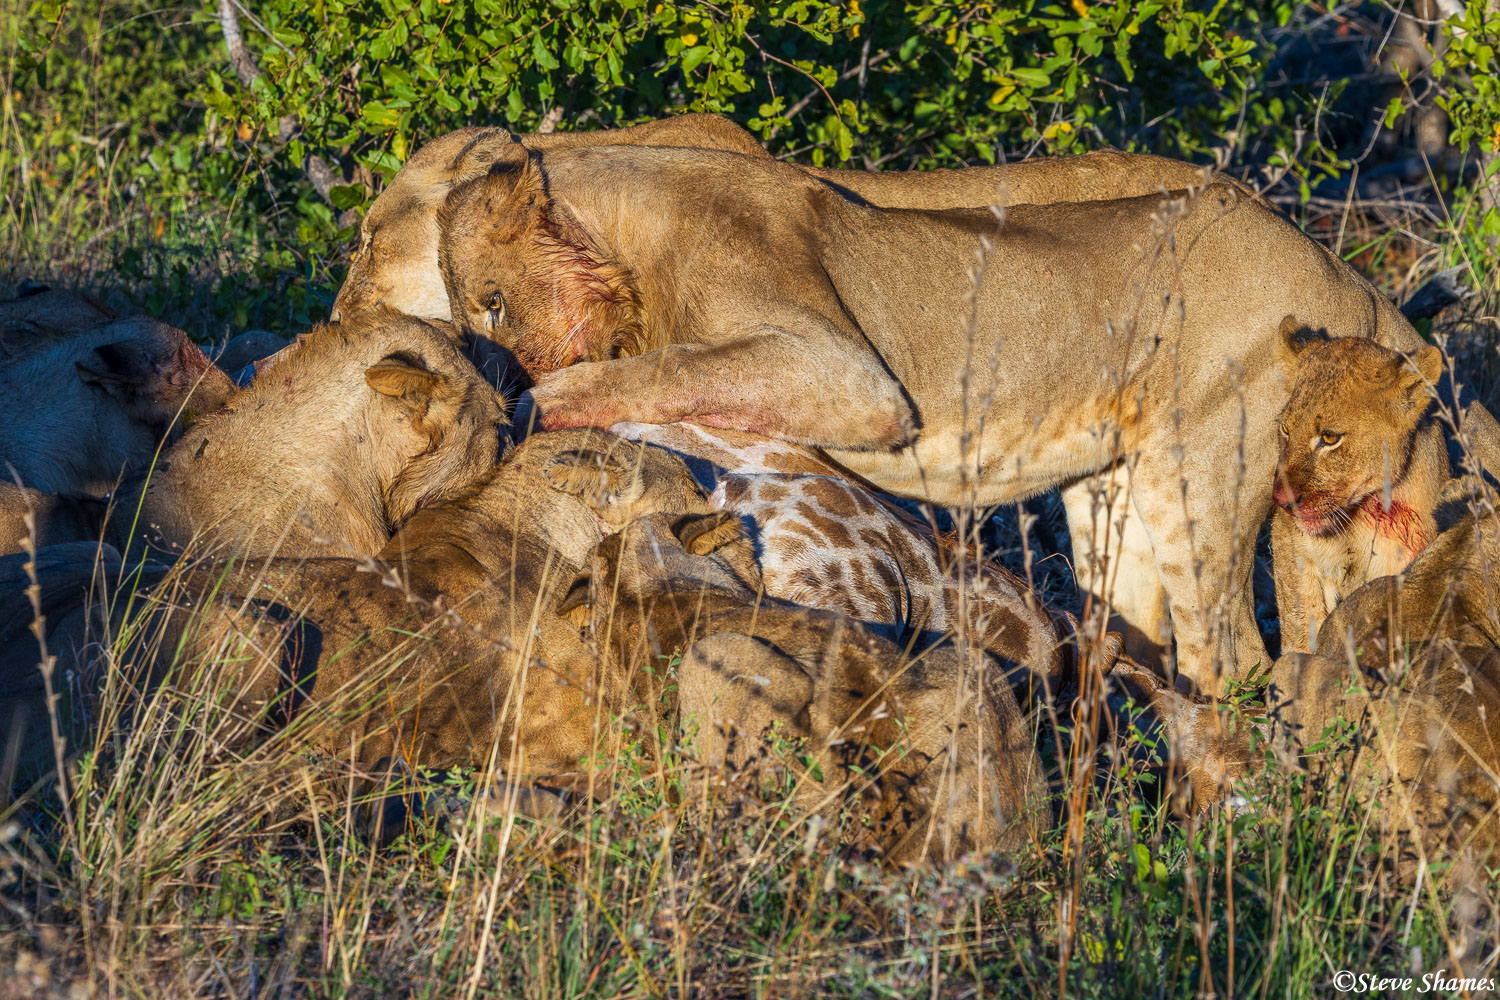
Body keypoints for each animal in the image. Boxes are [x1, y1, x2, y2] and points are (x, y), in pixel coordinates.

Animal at [1270, 320, 1456, 652]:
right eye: (1286, 429)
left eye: (1329, 438)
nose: (1281, 500)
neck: (1359, 516)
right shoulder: (1290, 541)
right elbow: (1302, 621)